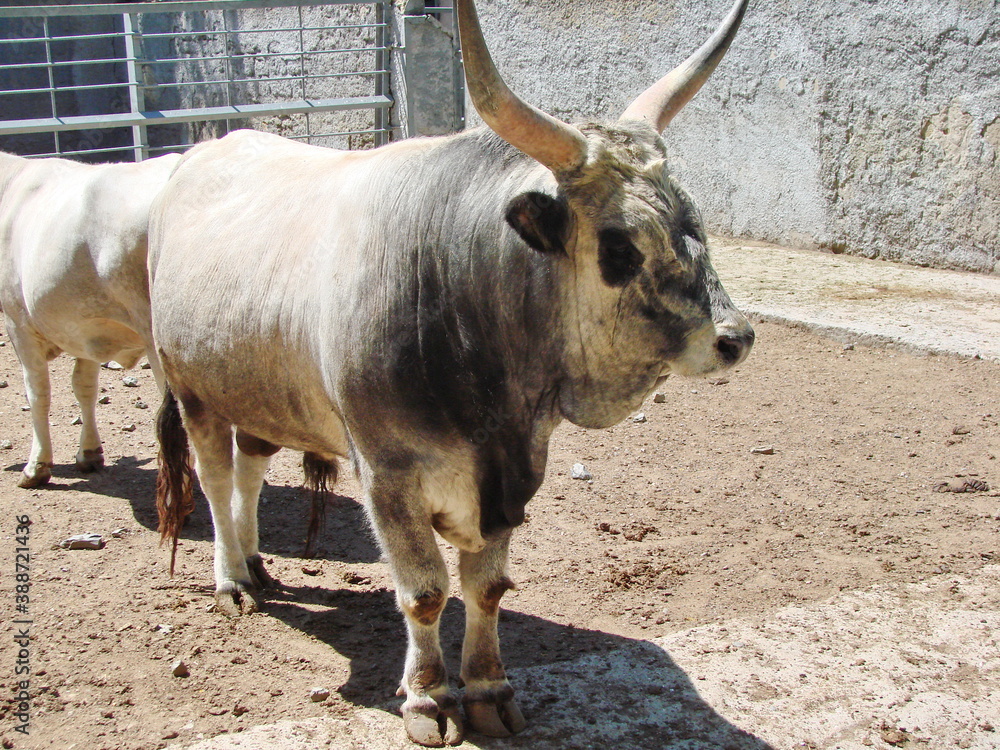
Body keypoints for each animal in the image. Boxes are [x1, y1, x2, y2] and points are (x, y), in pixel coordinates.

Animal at [0, 151, 181, 488]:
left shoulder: (17, 321)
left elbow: (37, 391)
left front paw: (36, 467)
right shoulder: (85, 330)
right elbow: (84, 386)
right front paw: (89, 453)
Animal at [150, 0, 754, 745]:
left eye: (693, 218)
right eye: (619, 245)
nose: (734, 337)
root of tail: (207, 151)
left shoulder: (513, 468)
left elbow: (486, 587)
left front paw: (490, 688)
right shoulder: (388, 476)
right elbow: (426, 592)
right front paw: (429, 697)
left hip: (257, 391)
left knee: (249, 469)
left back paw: (258, 563)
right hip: (192, 390)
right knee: (211, 477)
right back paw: (232, 578)